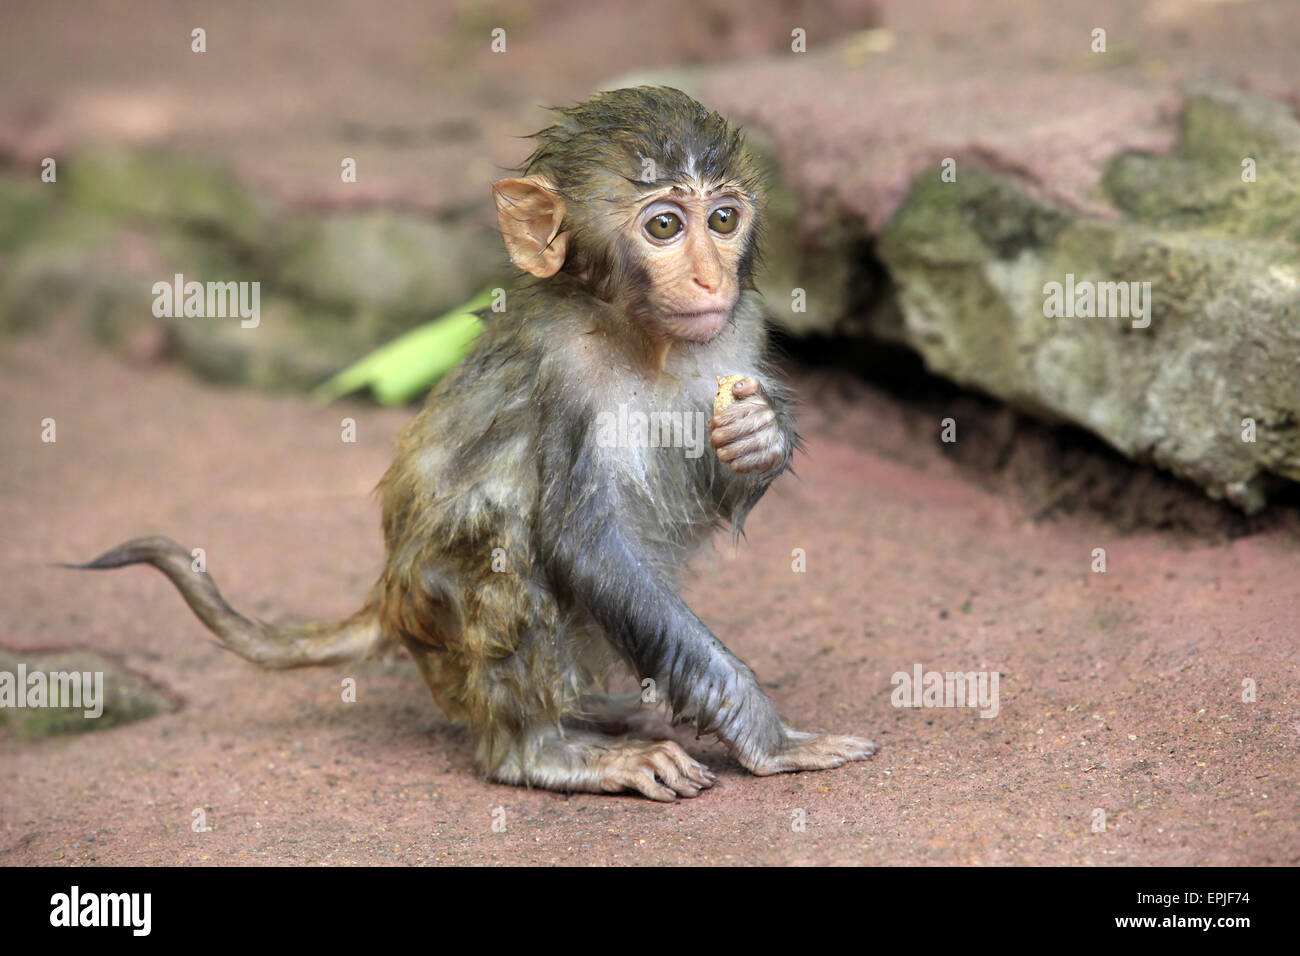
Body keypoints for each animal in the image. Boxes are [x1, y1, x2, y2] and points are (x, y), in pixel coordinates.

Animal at [67, 87, 876, 801]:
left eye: (725, 217)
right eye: (665, 227)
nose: (710, 278)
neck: (638, 337)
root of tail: (388, 596)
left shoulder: (735, 334)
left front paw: (757, 433)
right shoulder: (565, 370)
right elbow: (587, 547)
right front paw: (766, 737)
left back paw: (597, 710)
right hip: (439, 622)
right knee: (504, 541)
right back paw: (545, 751)